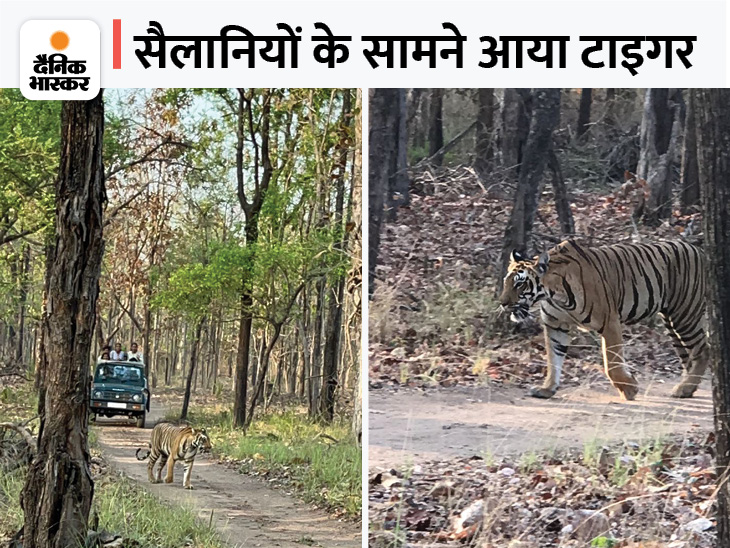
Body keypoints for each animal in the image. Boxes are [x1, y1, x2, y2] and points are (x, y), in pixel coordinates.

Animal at [499, 239, 708, 401]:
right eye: (506, 282)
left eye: (520, 284)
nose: (502, 303)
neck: (553, 294)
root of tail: (700, 251)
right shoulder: (555, 326)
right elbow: (553, 360)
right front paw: (547, 389)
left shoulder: (610, 322)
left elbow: (612, 365)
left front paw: (630, 389)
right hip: (671, 321)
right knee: (689, 355)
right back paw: (687, 388)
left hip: (685, 315)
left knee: (702, 350)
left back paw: (684, 388)